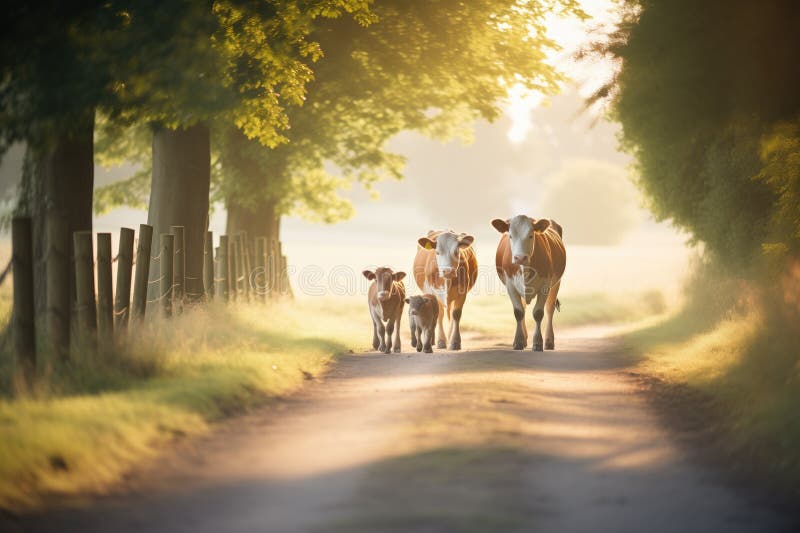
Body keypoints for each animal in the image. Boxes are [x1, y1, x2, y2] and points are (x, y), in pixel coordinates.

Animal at [491, 216, 566, 351]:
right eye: (510, 236)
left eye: (531, 235)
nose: (520, 258)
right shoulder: (510, 285)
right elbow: (518, 312)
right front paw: (518, 341)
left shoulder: (545, 286)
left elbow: (538, 313)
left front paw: (537, 343)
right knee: (524, 308)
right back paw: (525, 339)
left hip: (556, 283)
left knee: (550, 308)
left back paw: (549, 341)